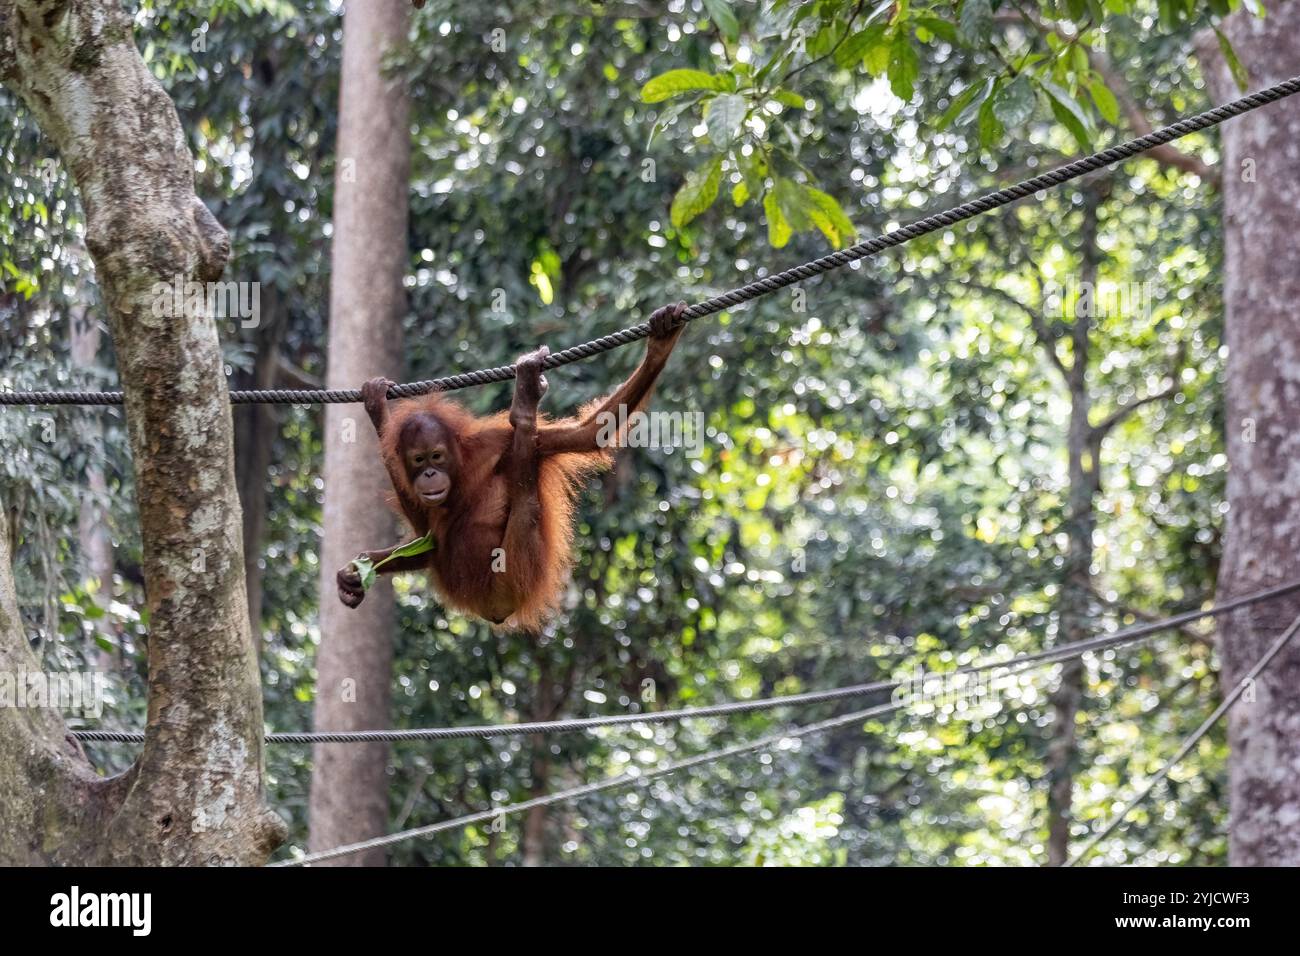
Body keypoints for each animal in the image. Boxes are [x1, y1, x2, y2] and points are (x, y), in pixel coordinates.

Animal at [336, 302, 688, 631]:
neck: (460, 472)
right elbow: (426, 541)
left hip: (514, 576)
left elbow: (587, 435)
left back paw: (525, 404)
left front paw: (660, 345)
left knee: (526, 490)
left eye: (436, 456)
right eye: (418, 460)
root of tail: (496, 613)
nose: (429, 474)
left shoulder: (494, 442)